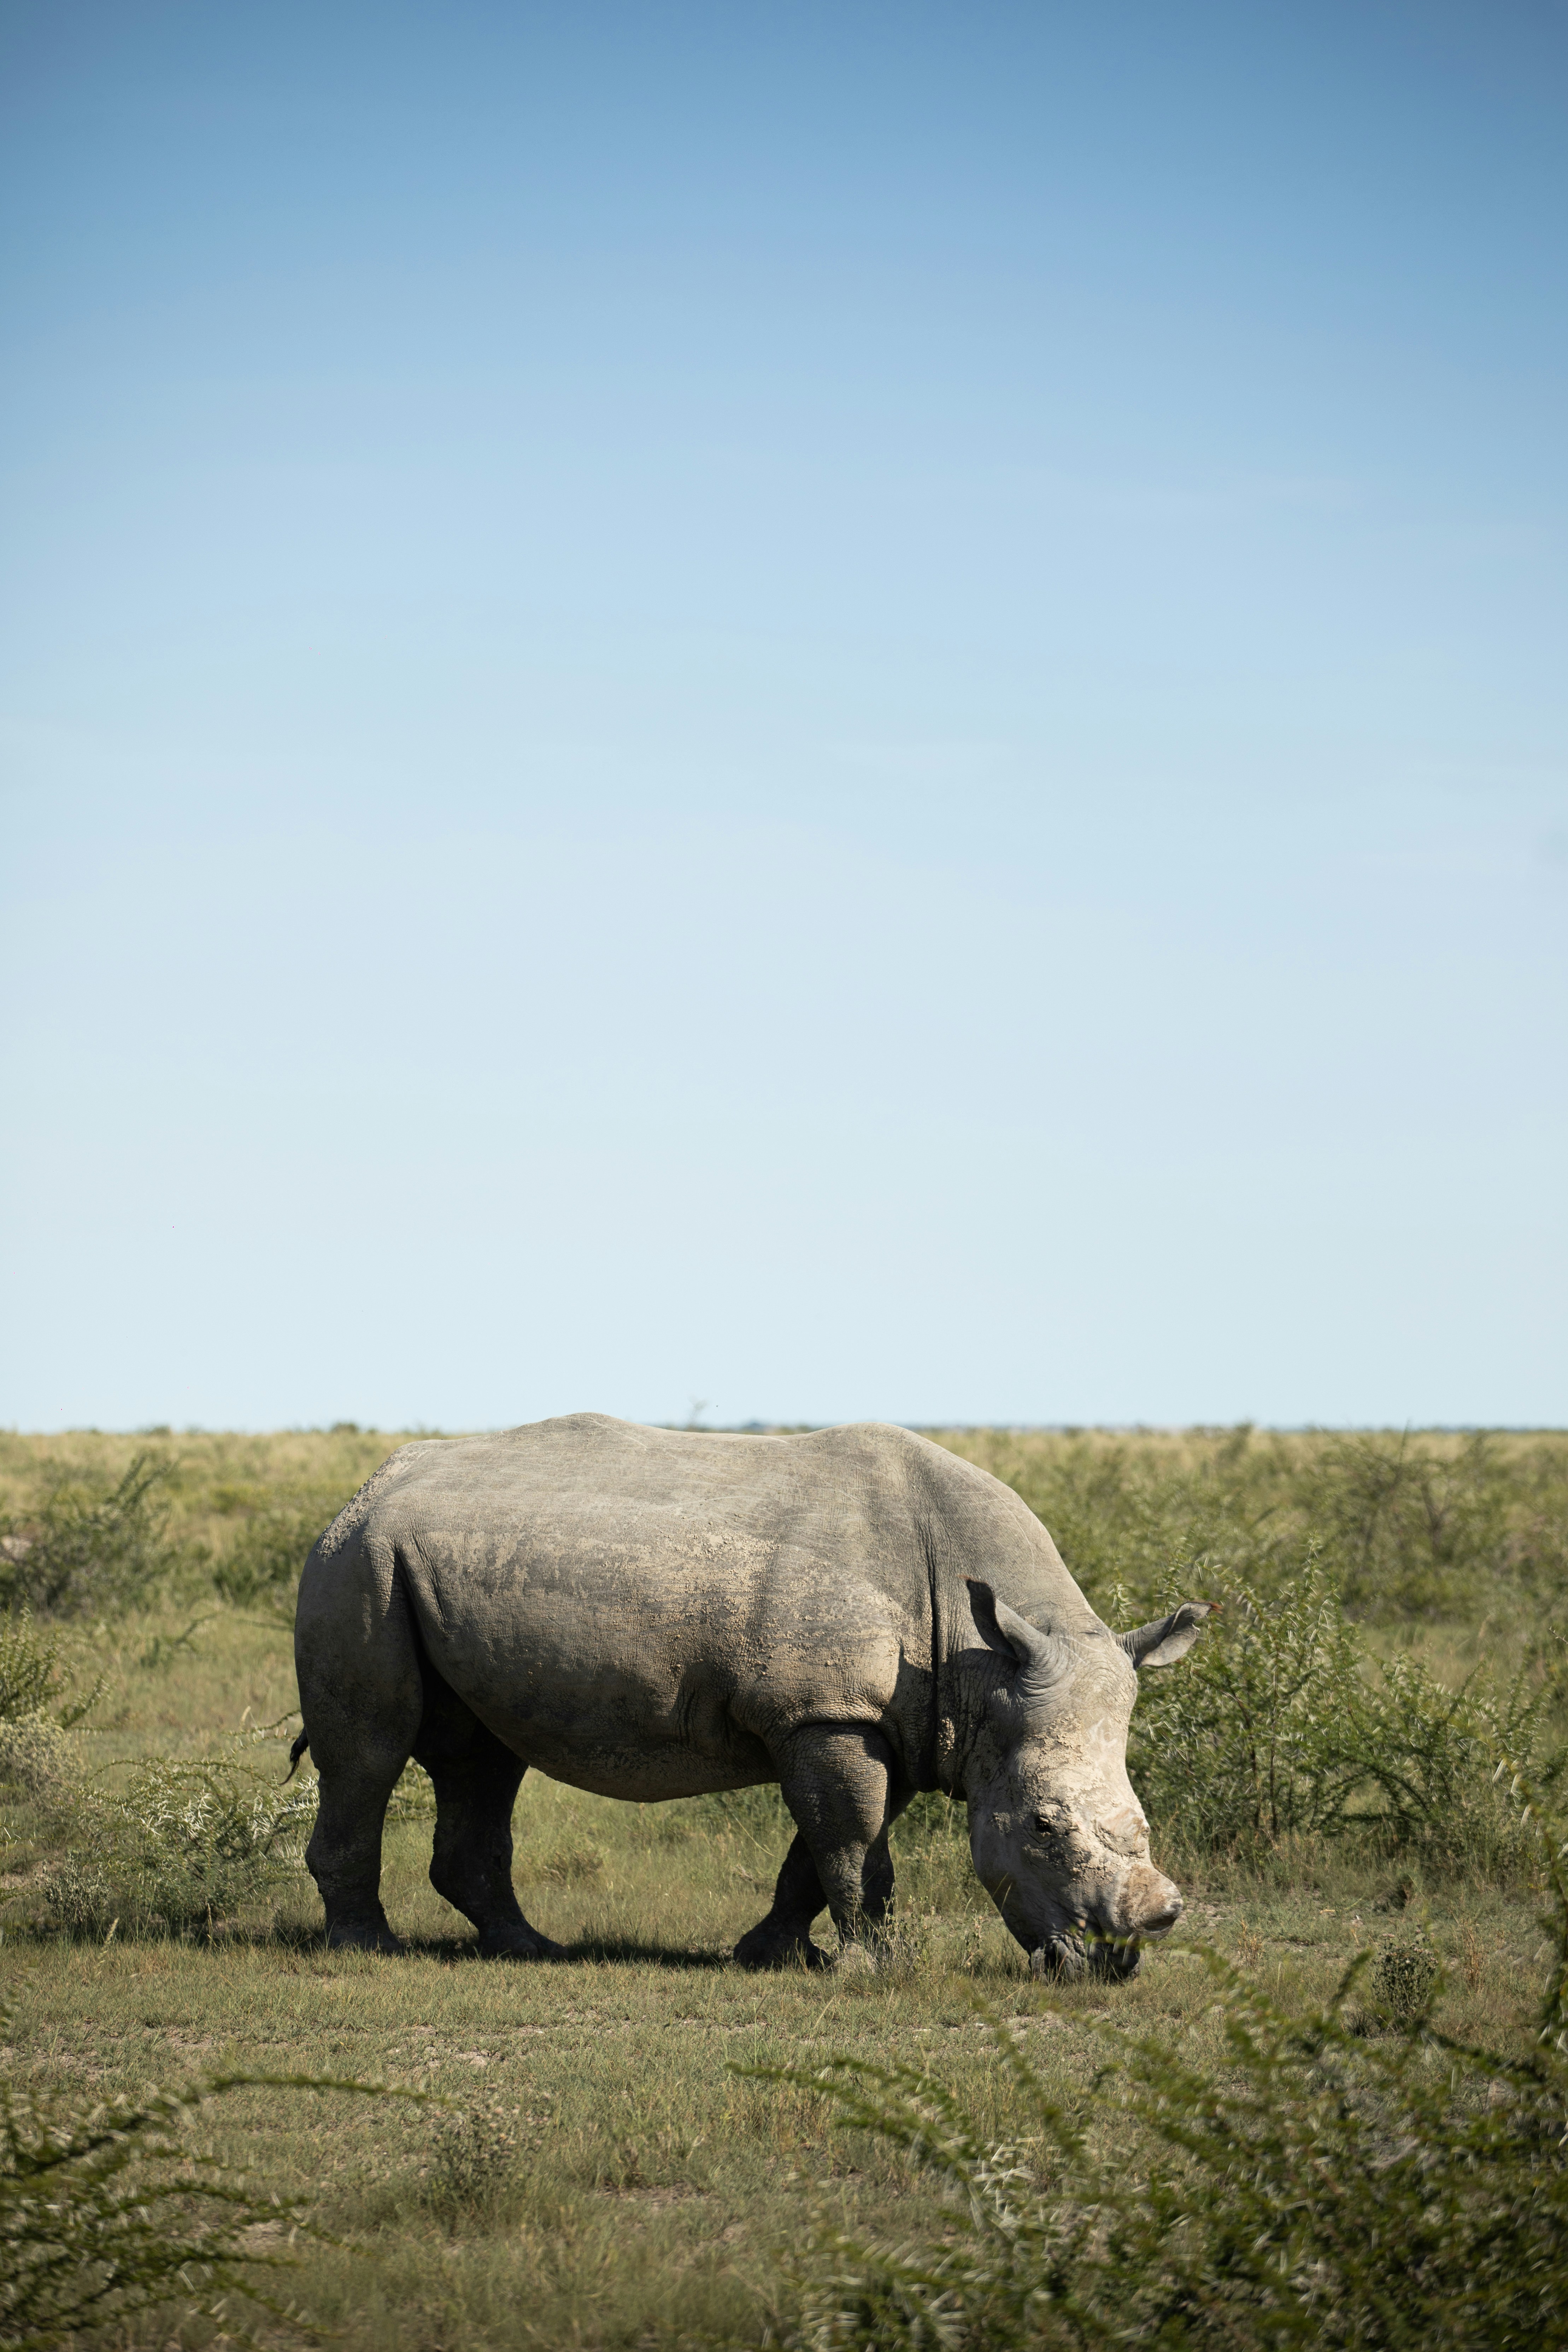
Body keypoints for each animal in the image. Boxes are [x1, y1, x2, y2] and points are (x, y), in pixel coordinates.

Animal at [292, 1415, 1210, 1977]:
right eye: (1042, 1827)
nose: (1117, 1960)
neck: (983, 1669)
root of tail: (368, 1484)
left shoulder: (895, 1721)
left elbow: (824, 1848)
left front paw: (771, 1956)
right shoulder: (826, 1709)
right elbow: (851, 1840)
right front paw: (874, 1967)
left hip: (432, 1561)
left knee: (483, 1758)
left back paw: (532, 1949)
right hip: (357, 1561)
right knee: (369, 1750)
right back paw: (368, 1949)